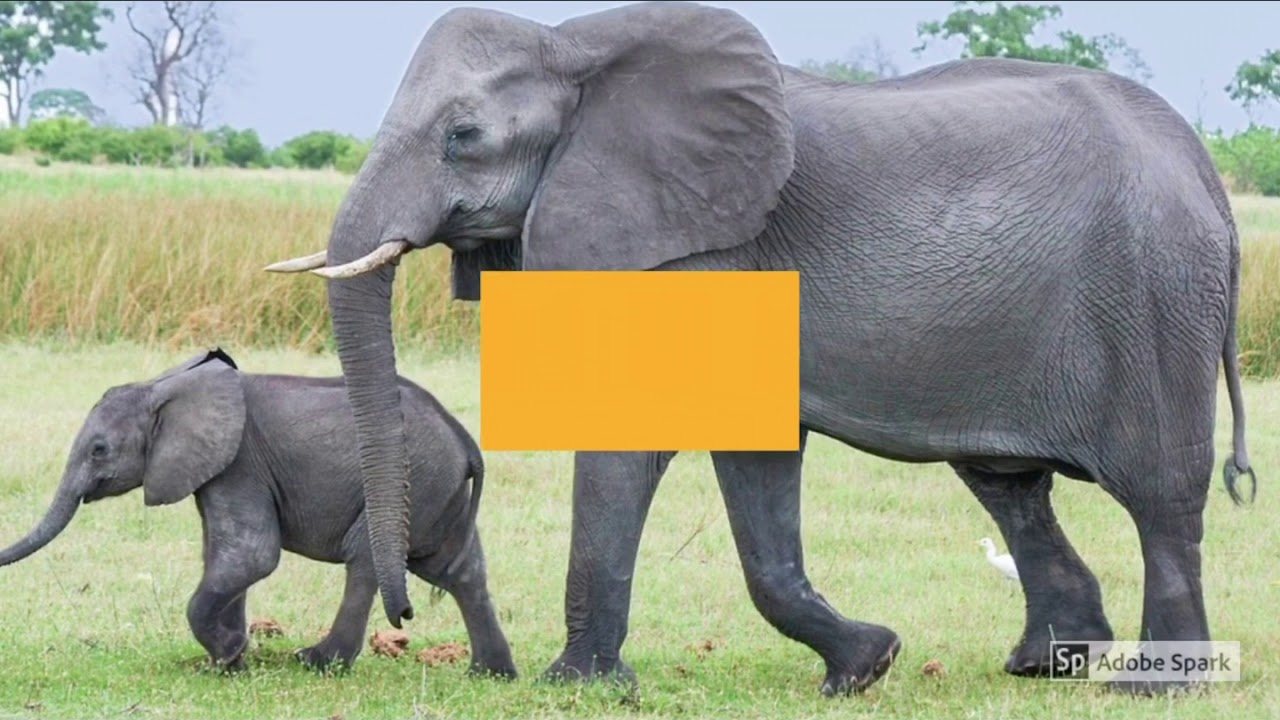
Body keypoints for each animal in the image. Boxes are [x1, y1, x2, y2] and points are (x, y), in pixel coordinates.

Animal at [0, 348, 518, 677]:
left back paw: (316, 663)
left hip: (414, 481)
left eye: (99, 450)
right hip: (439, 492)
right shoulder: (218, 469)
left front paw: (230, 655)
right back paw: (490, 674)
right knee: (459, 571)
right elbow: (223, 556)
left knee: (367, 557)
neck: (164, 386)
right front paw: (228, 663)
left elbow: (251, 556)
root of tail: (465, 442)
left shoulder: (241, 462)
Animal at [265, 0, 1258, 697]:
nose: (403, 615)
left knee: (1161, 497)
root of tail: (1204, 167)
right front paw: (865, 664)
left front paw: (579, 688)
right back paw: (1041, 666)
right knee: (1010, 488)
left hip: (1157, 299)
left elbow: (650, 434)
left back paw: (1153, 688)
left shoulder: (701, 252)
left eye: (462, 138)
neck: (575, 44)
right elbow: (739, 454)